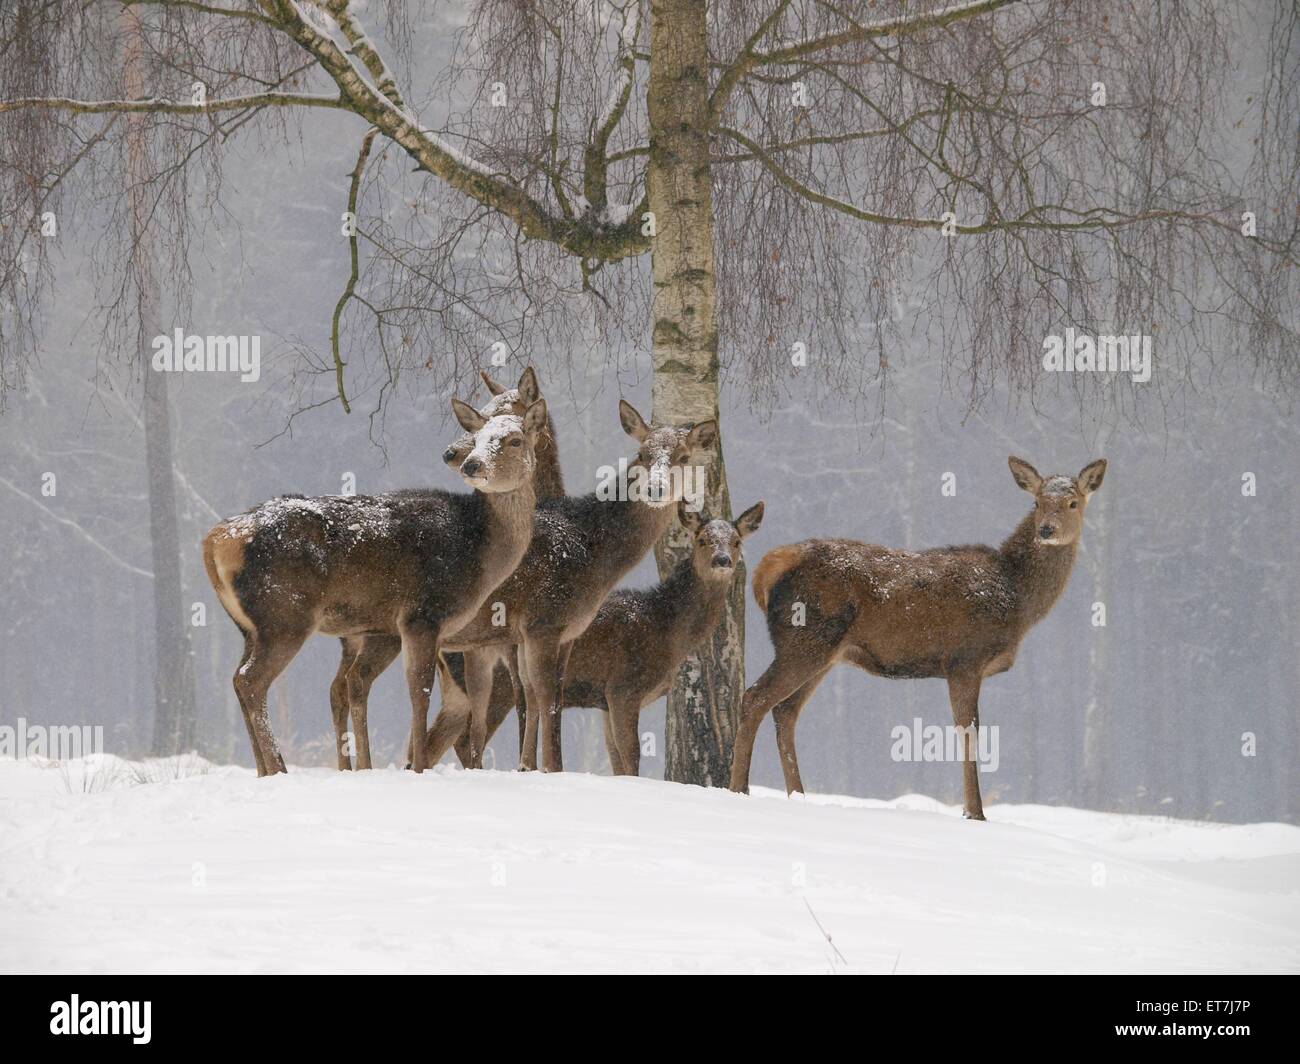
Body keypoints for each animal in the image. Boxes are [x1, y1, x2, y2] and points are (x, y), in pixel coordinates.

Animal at [201, 393, 549, 776]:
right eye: (476, 439)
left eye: (515, 440)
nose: (472, 465)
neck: (478, 553)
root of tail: (217, 539)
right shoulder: (421, 615)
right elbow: (420, 690)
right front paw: (417, 766)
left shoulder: (384, 629)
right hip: (284, 614)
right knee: (251, 680)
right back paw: (279, 768)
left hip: (250, 626)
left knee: (237, 679)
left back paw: (265, 770)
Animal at [326, 367, 564, 770]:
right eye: (478, 414)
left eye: (507, 412)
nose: (454, 454)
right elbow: (524, 701)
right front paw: (530, 767)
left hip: (356, 639)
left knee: (338, 688)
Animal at [421, 400, 718, 773]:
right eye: (642, 453)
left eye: (683, 456)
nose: (655, 488)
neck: (593, 556)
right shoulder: (544, 620)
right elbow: (545, 697)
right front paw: (549, 768)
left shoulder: (566, 633)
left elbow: (550, 696)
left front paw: (533, 766)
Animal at [444, 501, 764, 774]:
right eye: (702, 540)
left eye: (736, 541)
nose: (722, 560)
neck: (668, 630)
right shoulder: (624, 686)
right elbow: (631, 754)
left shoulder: (605, 701)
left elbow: (616, 760)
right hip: (499, 683)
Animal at [729, 456, 1107, 820]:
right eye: (1037, 501)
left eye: (1073, 502)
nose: (1046, 529)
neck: (1017, 600)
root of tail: (767, 569)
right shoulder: (964, 659)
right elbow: (969, 731)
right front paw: (975, 812)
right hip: (803, 638)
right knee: (754, 698)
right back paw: (737, 789)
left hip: (824, 652)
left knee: (785, 710)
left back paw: (798, 795)